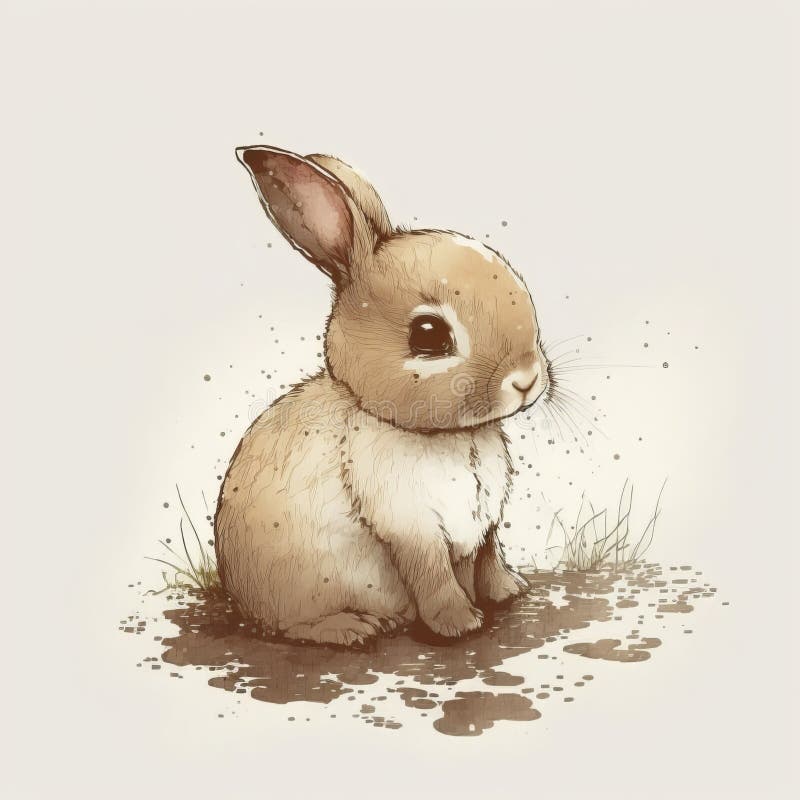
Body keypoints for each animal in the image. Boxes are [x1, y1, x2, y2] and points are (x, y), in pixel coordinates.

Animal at [214, 145, 550, 646]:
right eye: (429, 335)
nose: (527, 380)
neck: (447, 436)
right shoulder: (410, 527)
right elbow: (433, 577)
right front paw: (459, 623)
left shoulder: (483, 526)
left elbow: (488, 558)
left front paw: (509, 591)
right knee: (291, 626)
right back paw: (353, 627)